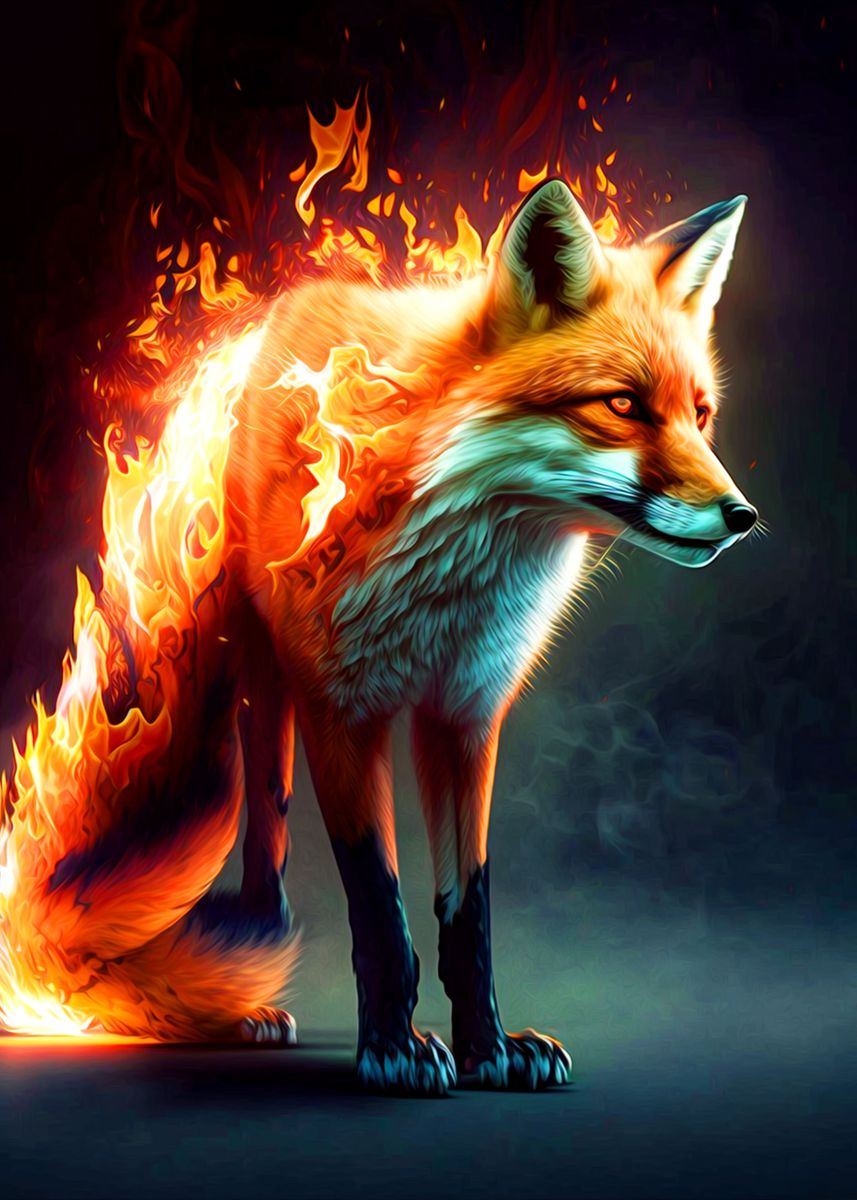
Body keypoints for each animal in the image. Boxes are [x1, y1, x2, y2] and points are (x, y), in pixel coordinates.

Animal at [1, 179, 756, 1094]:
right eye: (621, 405)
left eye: (699, 415)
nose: (742, 516)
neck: (451, 575)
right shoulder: (343, 709)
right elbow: (379, 907)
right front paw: (393, 1048)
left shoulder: (465, 713)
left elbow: (468, 914)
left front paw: (487, 1051)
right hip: (266, 688)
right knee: (267, 829)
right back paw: (249, 988)